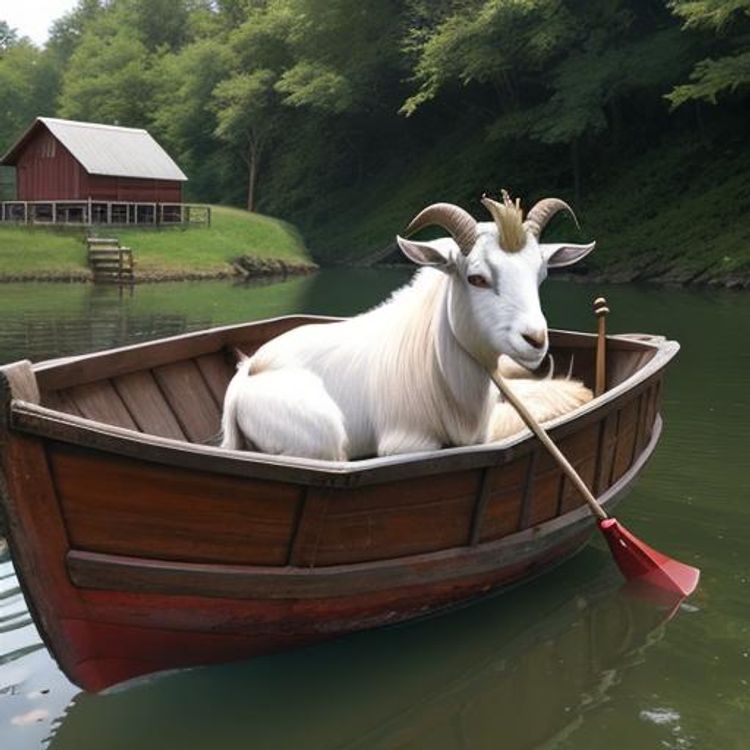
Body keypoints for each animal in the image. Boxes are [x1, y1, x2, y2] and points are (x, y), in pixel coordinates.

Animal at [221, 192, 595, 459]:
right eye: (476, 278)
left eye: (541, 274)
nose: (535, 340)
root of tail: (247, 374)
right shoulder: (405, 442)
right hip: (321, 433)